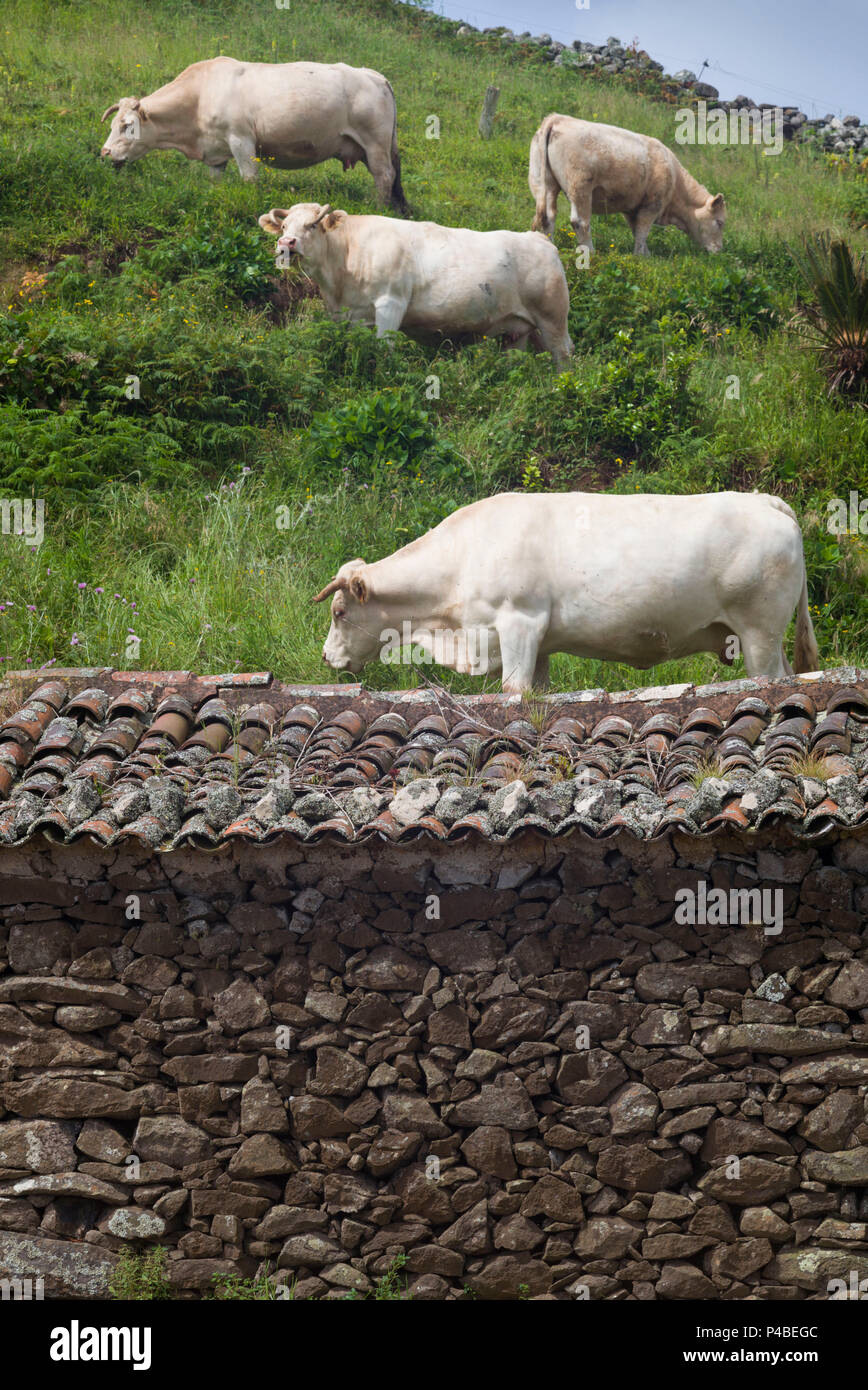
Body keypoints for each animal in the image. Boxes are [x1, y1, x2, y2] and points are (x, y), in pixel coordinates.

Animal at [100, 56, 406, 210]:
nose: (104, 153)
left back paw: (377, 208)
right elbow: (216, 182)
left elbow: (249, 178)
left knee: (384, 176)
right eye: (112, 124)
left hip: (375, 144)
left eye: (127, 125)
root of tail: (375, 75)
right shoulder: (216, 153)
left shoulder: (241, 140)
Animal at [258, 203, 573, 360]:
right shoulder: (348, 316)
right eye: (284, 226)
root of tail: (539, 239)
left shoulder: (391, 303)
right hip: (518, 331)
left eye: (311, 225)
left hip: (552, 318)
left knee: (563, 353)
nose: (286, 243)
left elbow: (384, 350)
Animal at [313, 491, 819, 694]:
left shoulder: (518, 623)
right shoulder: (539, 642)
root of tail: (762, 499)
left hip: (758, 633)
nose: (325, 657)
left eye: (339, 612)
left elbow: (512, 690)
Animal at [529, 113, 726, 254]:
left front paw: (646, 254)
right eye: (720, 222)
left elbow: (636, 230)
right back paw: (591, 252)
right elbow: (642, 232)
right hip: (580, 186)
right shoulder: (651, 205)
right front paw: (640, 257)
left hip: (545, 182)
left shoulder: (632, 208)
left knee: (548, 216)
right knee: (580, 221)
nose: (718, 250)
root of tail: (558, 118)